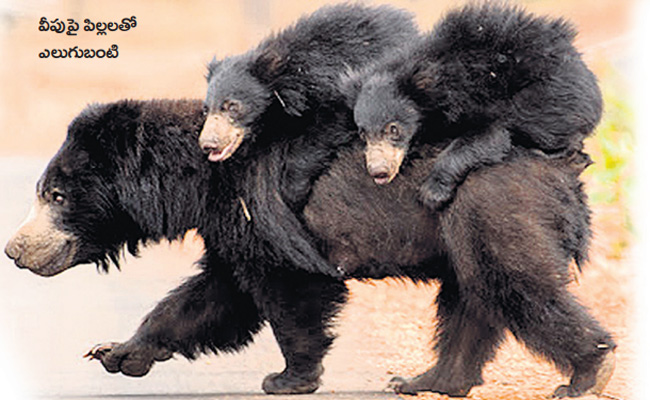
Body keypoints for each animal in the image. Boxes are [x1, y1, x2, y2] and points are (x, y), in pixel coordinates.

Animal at [5, 99, 615, 398]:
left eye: (55, 195)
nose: (15, 250)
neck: (199, 179)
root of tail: (563, 163)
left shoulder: (261, 207)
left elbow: (289, 290)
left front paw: (287, 379)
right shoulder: (230, 225)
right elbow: (211, 296)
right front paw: (115, 352)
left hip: (493, 211)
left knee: (517, 286)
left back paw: (587, 373)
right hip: (461, 229)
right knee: (471, 301)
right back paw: (429, 381)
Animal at [341, 2, 602, 211]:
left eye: (393, 129)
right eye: (363, 134)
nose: (379, 172)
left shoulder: (477, 99)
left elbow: (489, 136)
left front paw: (432, 193)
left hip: (547, 96)